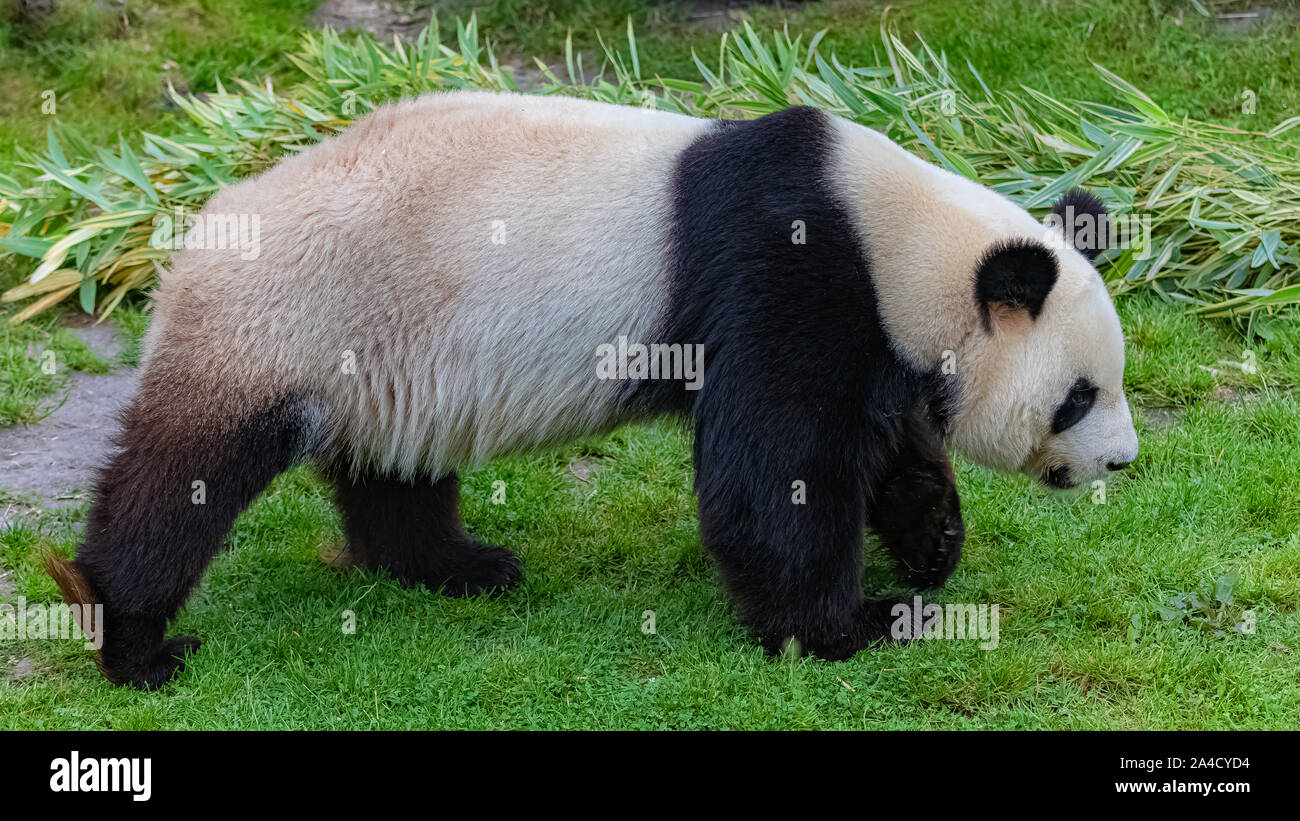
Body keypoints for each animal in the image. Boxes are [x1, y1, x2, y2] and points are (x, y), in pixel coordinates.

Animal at [45, 91, 1139, 688]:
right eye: (1079, 396)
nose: (1124, 463)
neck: (899, 236)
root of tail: (195, 233)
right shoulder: (785, 272)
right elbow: (774, 468)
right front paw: (852, 624)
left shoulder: (865, 318)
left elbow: (884, 439)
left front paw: (930, 543)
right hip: (282, 321)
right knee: (184, 476)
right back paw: (133, 636)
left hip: (380, 352)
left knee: (392, 467)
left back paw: (462, 565)